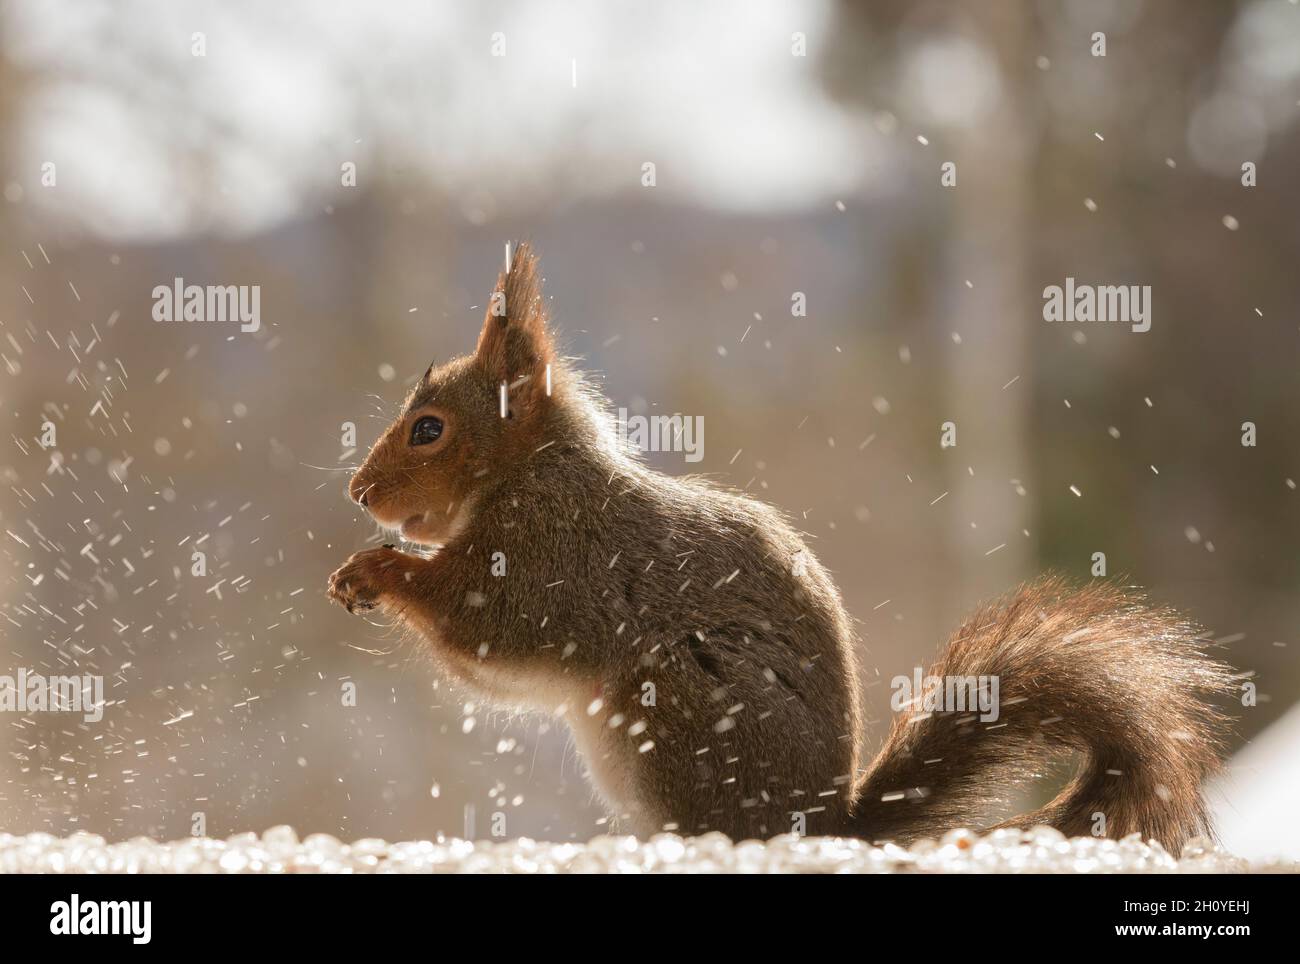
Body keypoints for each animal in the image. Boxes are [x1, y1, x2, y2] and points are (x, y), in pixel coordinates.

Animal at [327, 242, 1234, 851]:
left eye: (430, 429)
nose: (359, 494)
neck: (530, 472)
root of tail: (829, 823)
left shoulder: (558, 559)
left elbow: (490, 622)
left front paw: (377, 570)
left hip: (681, 701)